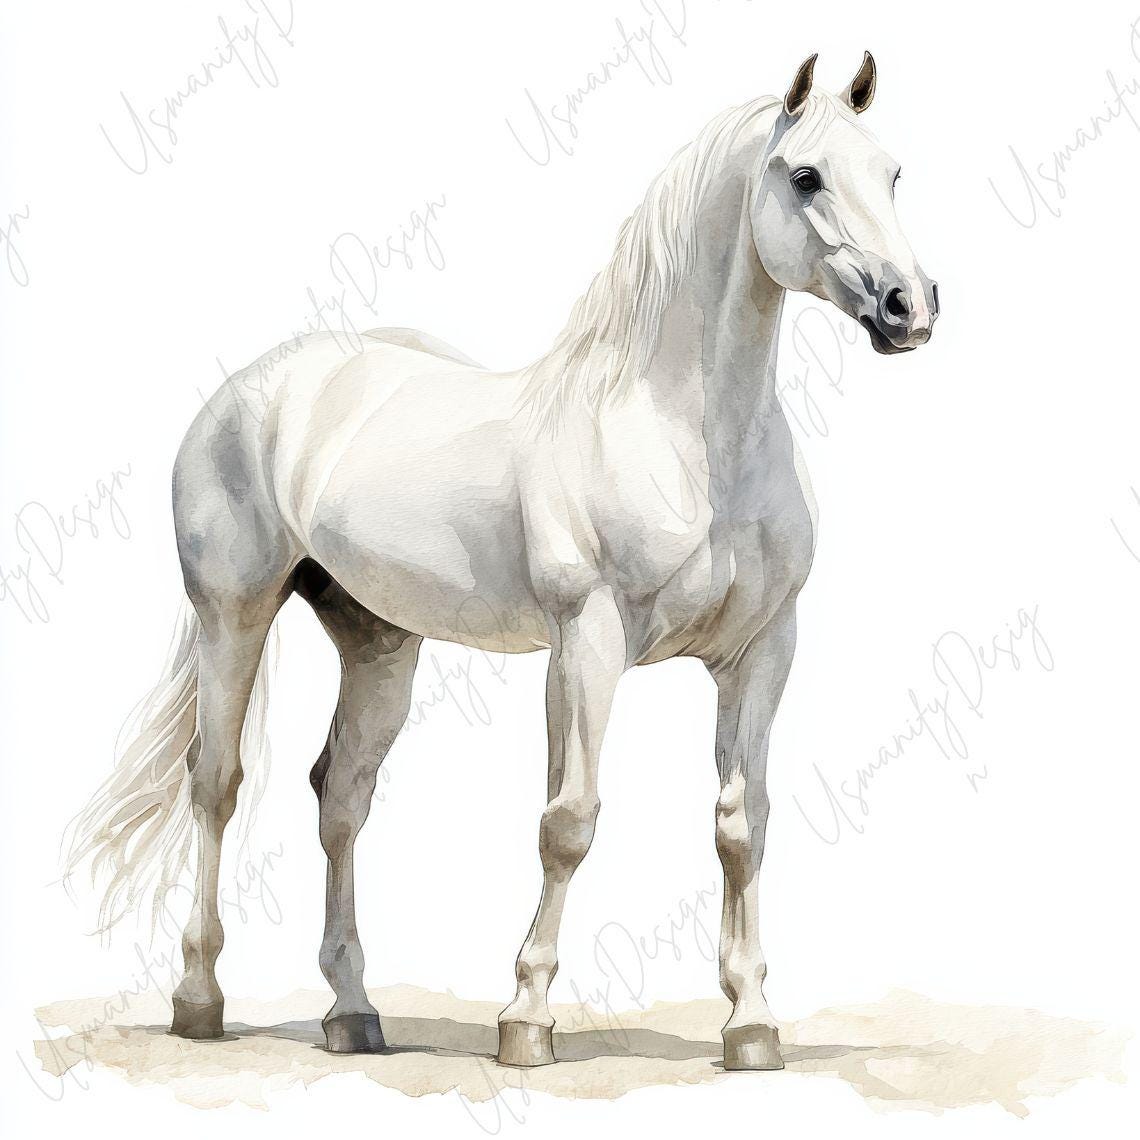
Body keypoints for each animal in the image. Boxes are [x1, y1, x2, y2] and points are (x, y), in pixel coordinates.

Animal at [67, 52, 938, 1072]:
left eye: (892, 173)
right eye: (804, 177)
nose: (910, 307)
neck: (683, 439)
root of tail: (249, 389)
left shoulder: (762, 651)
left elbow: (740, 826)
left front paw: (751, 1023)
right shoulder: (587, 645)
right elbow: (569, 822)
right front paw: (526, 1019)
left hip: (379, 644)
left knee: (341, 796)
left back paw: (353, 1013)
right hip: (233, 616)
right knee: (215, 784)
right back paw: (200, 999)